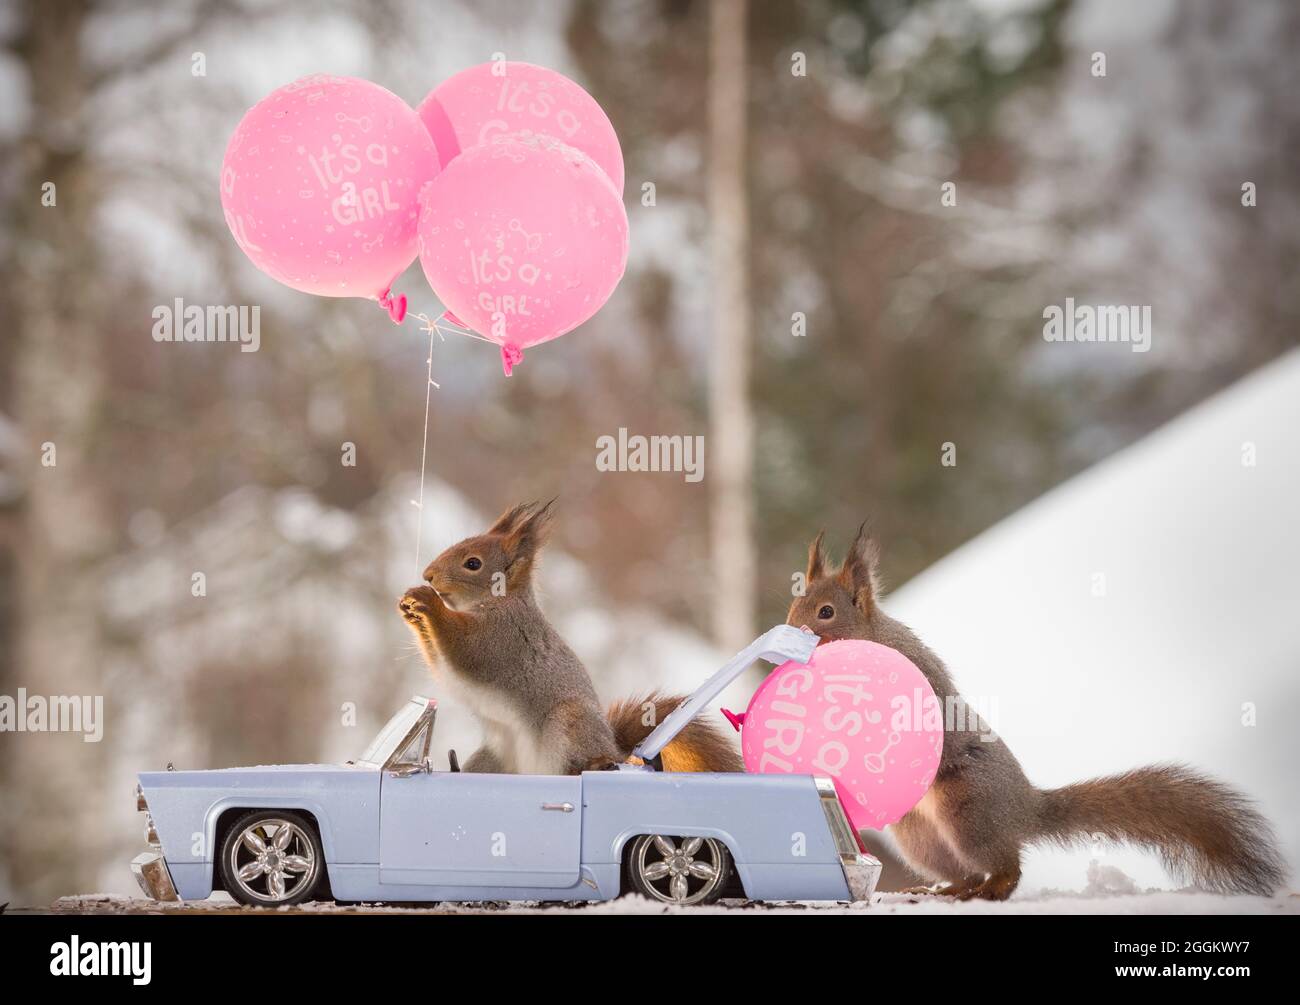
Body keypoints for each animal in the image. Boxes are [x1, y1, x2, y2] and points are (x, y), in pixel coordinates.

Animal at [398, 500, 742, 776]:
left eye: (473, 563)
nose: (428, 574)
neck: (498, 601)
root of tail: (617, 749)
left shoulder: (502, 637)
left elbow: (465, 648)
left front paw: (428, 603)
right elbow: (441, 661)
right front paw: (411, 610)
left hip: (570, 723)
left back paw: (592, 765)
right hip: (496, 754)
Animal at [787, 524, 1285, 901]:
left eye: (826, 612)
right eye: (794, 603)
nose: (787, 633)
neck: (867, 639)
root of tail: (1024, 809)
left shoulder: (917, 673)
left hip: (969, 812)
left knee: (1006, 865)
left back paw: (993, 888)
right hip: (918, 836)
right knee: (966, 871)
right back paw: (948, 890)